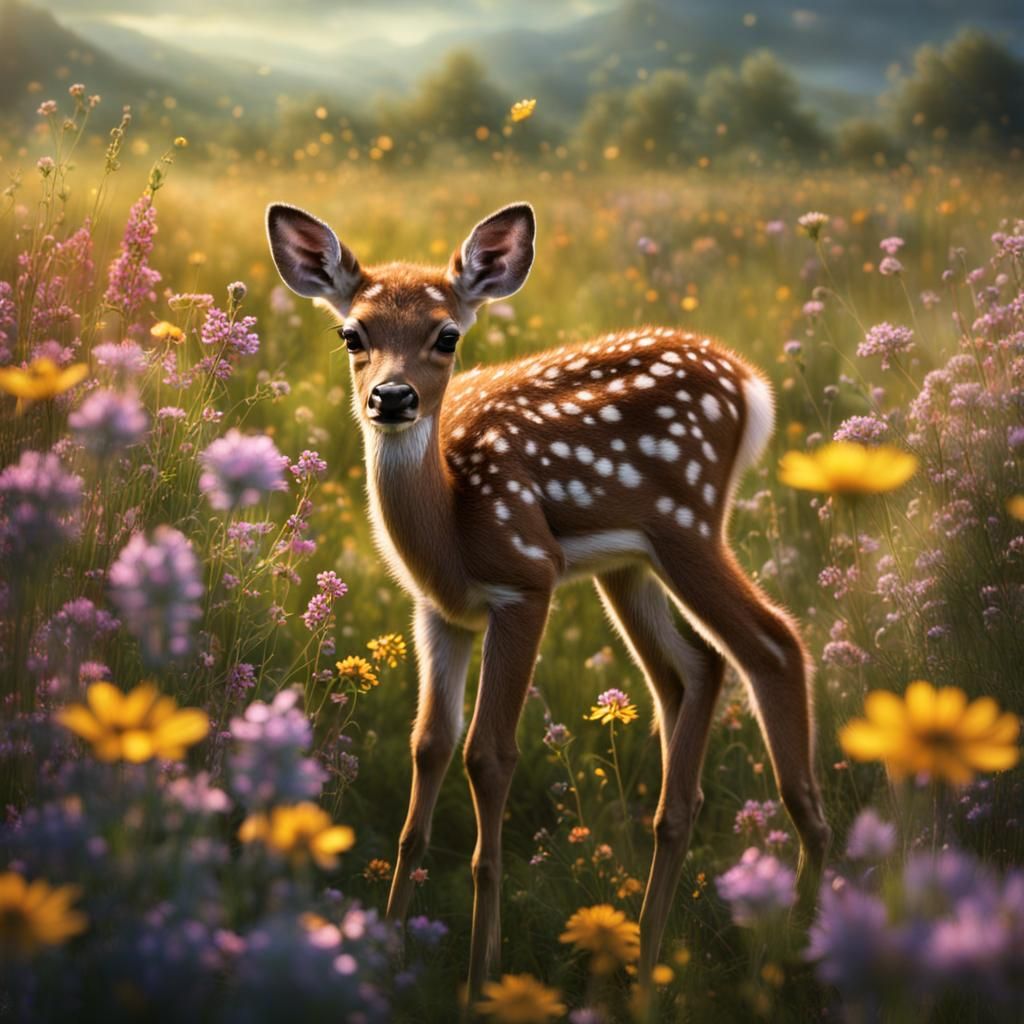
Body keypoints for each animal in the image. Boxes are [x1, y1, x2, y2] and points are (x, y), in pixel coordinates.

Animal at [265, 201, 831, 995]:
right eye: (353, 333)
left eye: (447, 334)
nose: (392, 397)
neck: (451, 524)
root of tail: (750, 383)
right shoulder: (439, 613)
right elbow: (428, 748)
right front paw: (385, 954)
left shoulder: (526, 580)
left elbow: (489, 754)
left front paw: (481, 978)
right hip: (628, 563)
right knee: (693, 669)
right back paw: (649, 956)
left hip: (687, 524)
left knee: (773, 643)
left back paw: (802, 934)